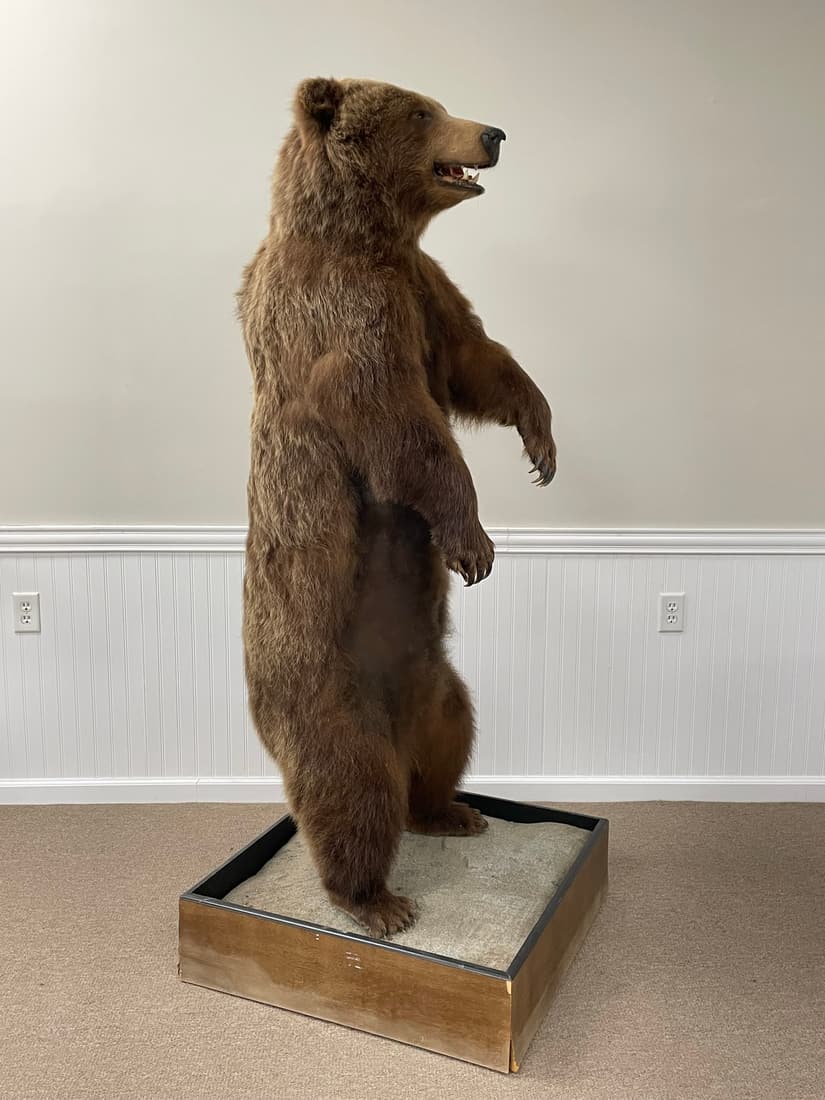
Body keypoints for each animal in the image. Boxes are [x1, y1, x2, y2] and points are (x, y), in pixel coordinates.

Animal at [237, 78, 556, 938]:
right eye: (420, 111)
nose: (494, 132)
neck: (369, 239)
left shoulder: (423, 287)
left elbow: (478, 359)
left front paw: (542, 442)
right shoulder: (342, 310)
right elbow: (395, 420)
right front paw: (472, 542)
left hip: (438, 687)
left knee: (449, 740)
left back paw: (452, 811)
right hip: (322, 694)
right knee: (352, 794)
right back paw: (376, 900)